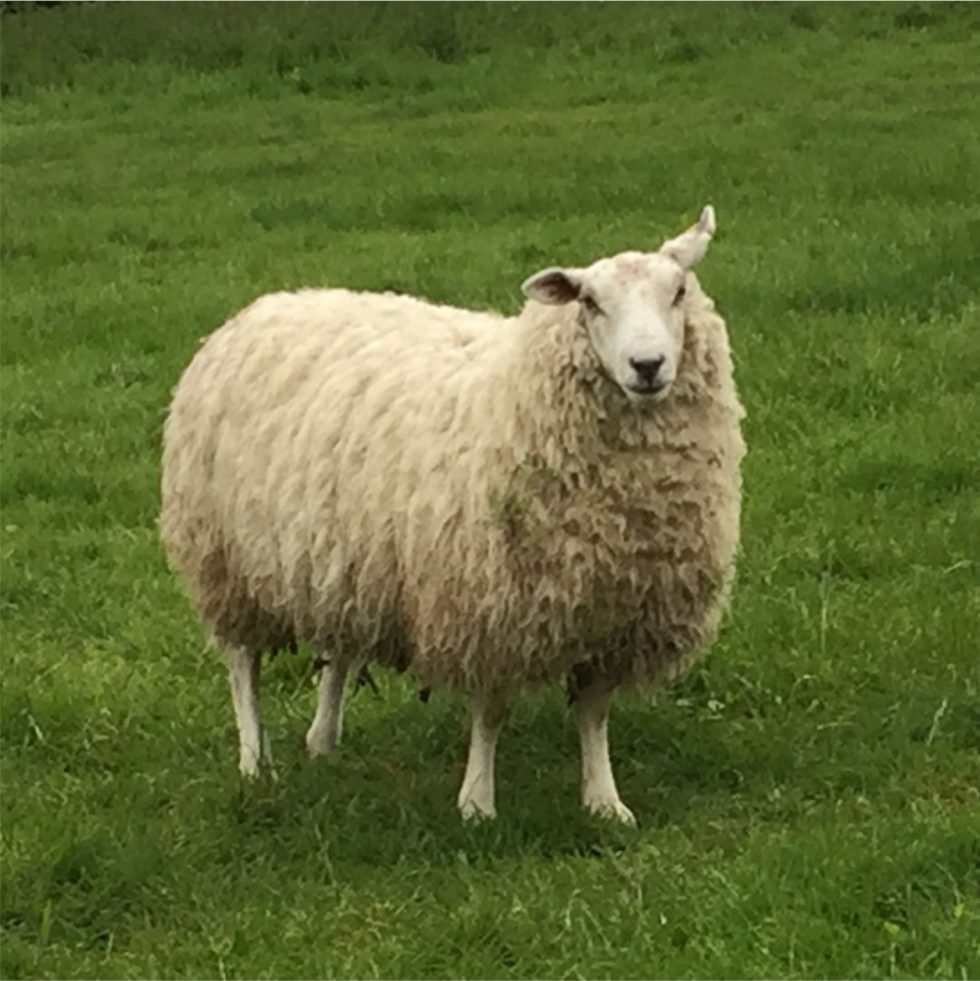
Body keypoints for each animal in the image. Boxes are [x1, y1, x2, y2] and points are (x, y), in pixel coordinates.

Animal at [160, 205, 744, 824]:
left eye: (678, 291)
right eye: (589, 302)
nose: (647, 366)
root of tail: (263, 306)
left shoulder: (614, 612)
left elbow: (594, 712)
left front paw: (604, 802)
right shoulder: (488, 607)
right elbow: (490, 713)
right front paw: (477, 804)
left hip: (342, 559)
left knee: (337, 651)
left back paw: (323, 740)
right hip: (224, 560)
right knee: (242, 665)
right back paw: (254, 763)